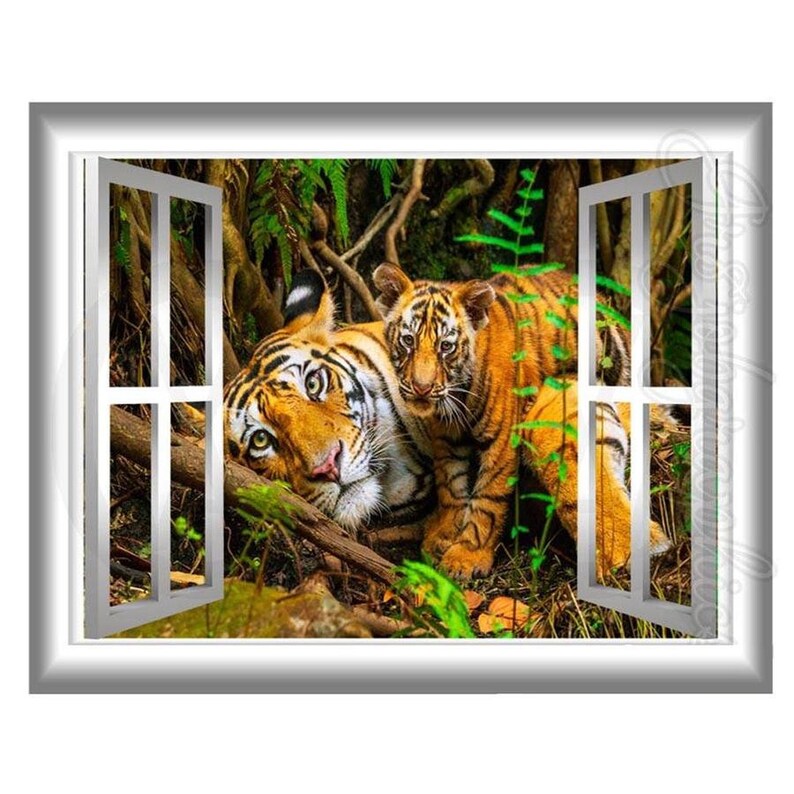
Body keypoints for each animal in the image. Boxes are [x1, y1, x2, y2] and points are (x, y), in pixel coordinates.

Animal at [373, 262, 672, 580]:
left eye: (446, 346)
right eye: (408, 340)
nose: (422, 388)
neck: (456, 397)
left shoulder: (501, 438)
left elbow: (488, 498)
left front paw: (466, 557)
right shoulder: (446, 438)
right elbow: (450, 486)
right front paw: (442, 535)